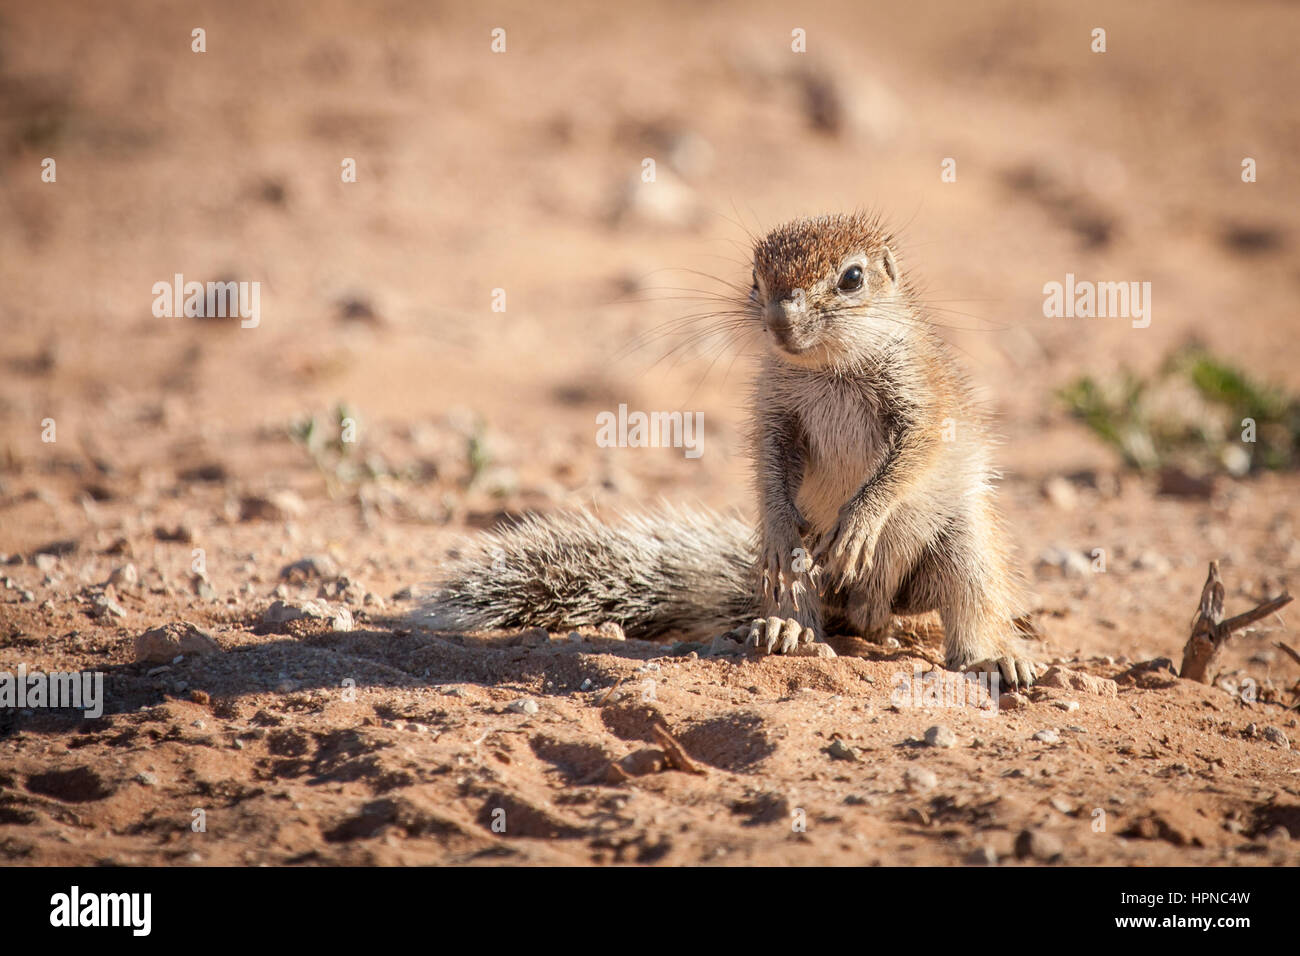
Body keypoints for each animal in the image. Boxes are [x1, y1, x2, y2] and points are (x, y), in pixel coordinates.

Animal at [422, 212, 1039, 688]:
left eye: (852, 277)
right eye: (755, 276)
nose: (779, 318)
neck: (831, 369)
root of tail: (872, 612)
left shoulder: (924, 404)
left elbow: (910, 459)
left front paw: (861, 520)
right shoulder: (774, 414)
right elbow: (768, 467)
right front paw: (778, 523)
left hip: (962, 546)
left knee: (973, 605)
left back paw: (992, 659)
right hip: (800, 569)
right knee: (798, 592)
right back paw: (786, 629)